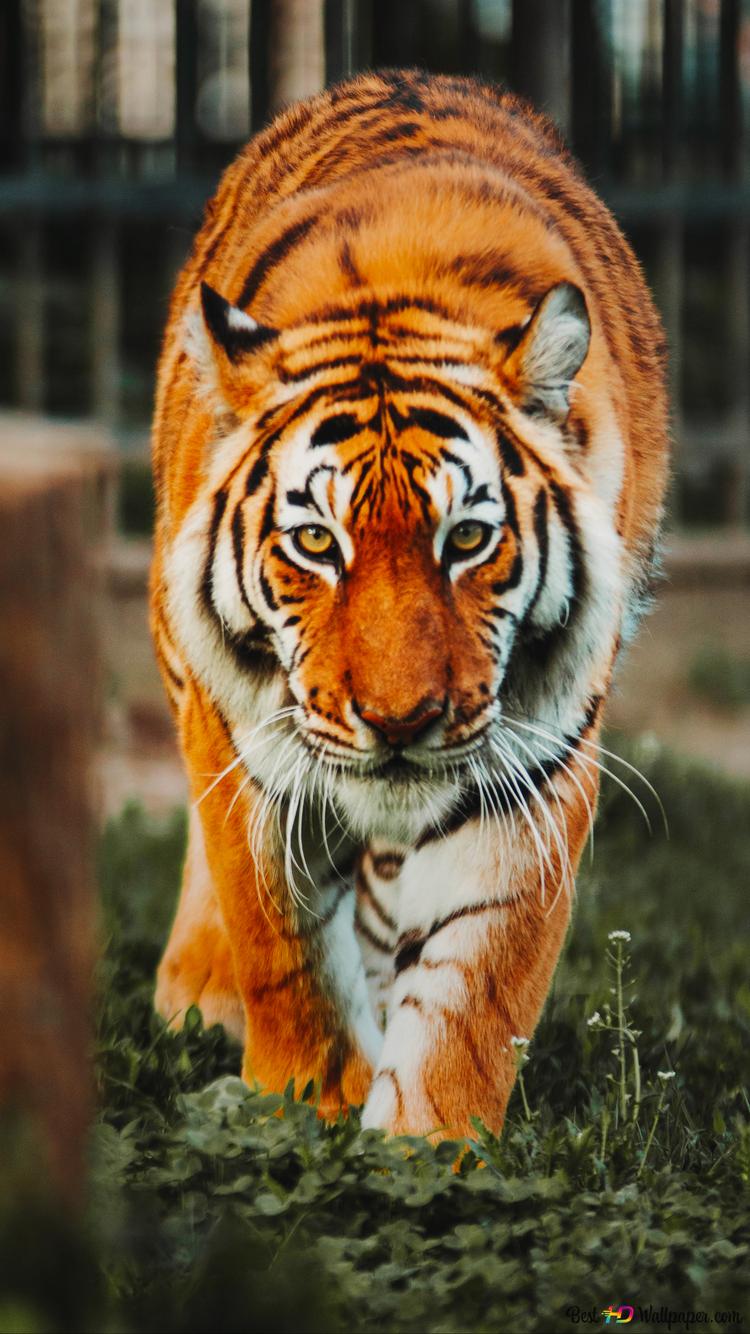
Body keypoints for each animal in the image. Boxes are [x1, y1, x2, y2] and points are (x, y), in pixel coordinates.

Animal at [150, 68, 668, 1139]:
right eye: (316, 543)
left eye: (466, 540)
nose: (398, 723)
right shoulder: (245, 738)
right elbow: (281, 943)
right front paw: (309, 1097)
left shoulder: (537, 755)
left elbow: (478, 984)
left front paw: (426, 1144)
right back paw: (197, 1000)